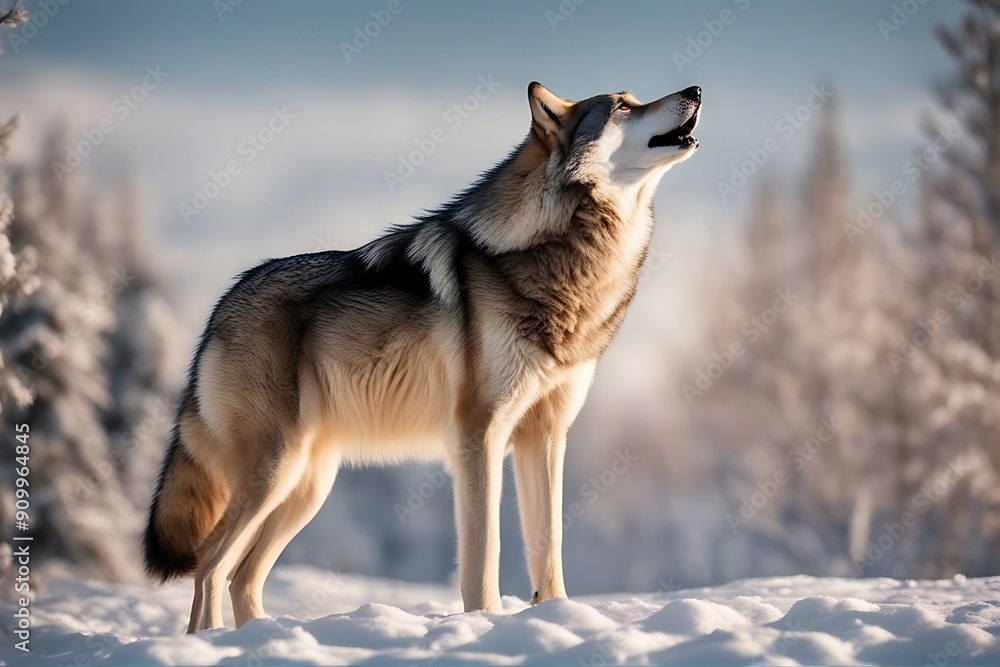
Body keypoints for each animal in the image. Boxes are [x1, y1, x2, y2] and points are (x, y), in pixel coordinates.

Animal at [143, 81, 702, 632]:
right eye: (624, 106)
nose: (696, 90)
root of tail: (217, 311)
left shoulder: (545, 435)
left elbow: (549, 546)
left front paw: (558, 616)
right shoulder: (479, 434)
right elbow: (484, 550)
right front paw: (485, 623)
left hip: (307, 487)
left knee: (241, 576)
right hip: (275, 472)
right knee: (210, 563)